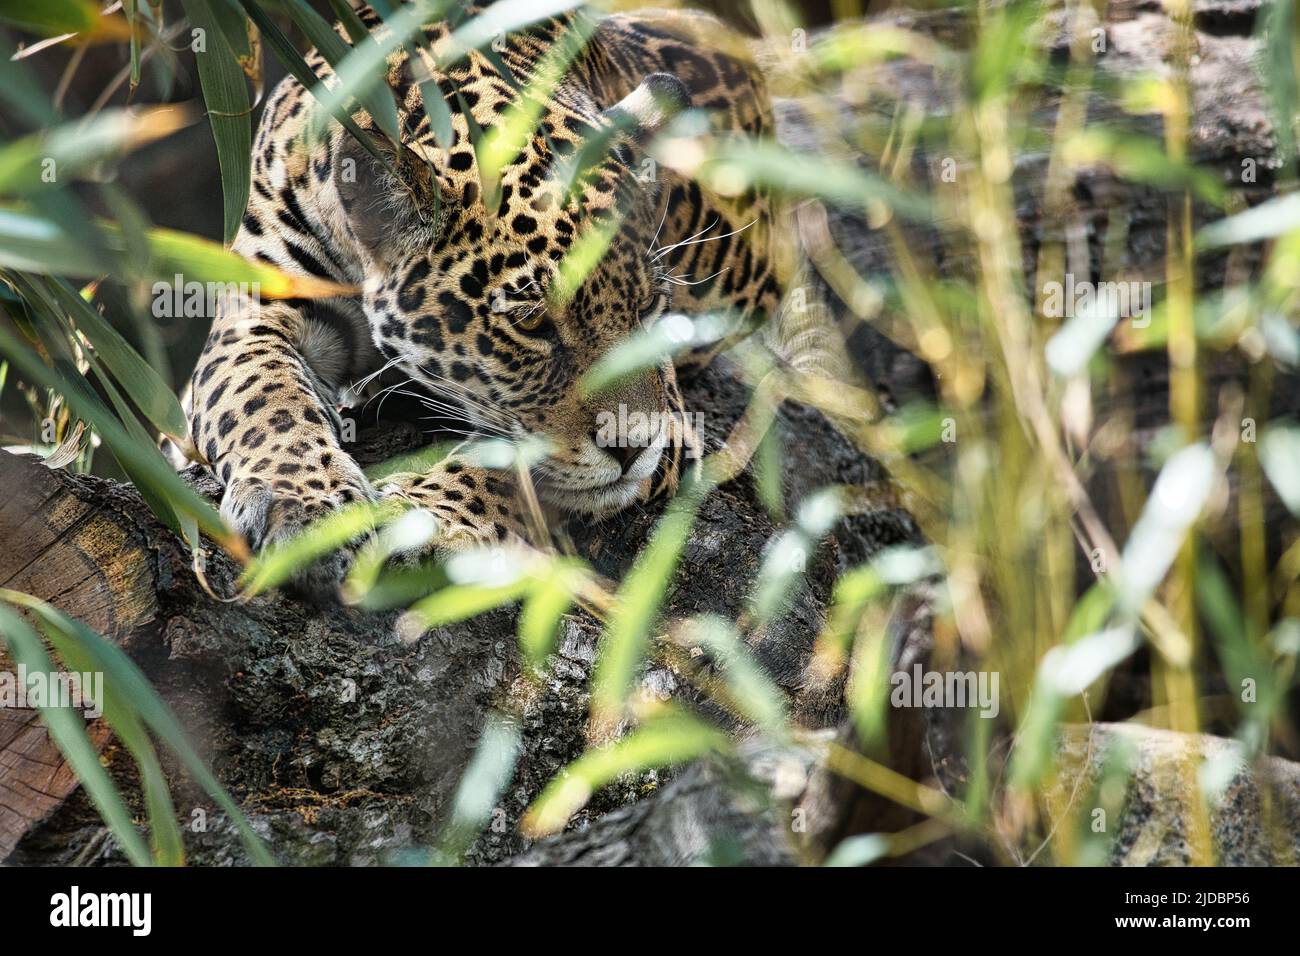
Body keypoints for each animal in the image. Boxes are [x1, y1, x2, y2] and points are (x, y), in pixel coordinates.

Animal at [185, 2, 790, 592]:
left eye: (646, 309)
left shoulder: (668, 405)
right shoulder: (260, 308)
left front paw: (421, 520)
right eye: (531, 322)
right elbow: (263, 395)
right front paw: (305, 505)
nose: (633, 449)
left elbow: (512, 467)